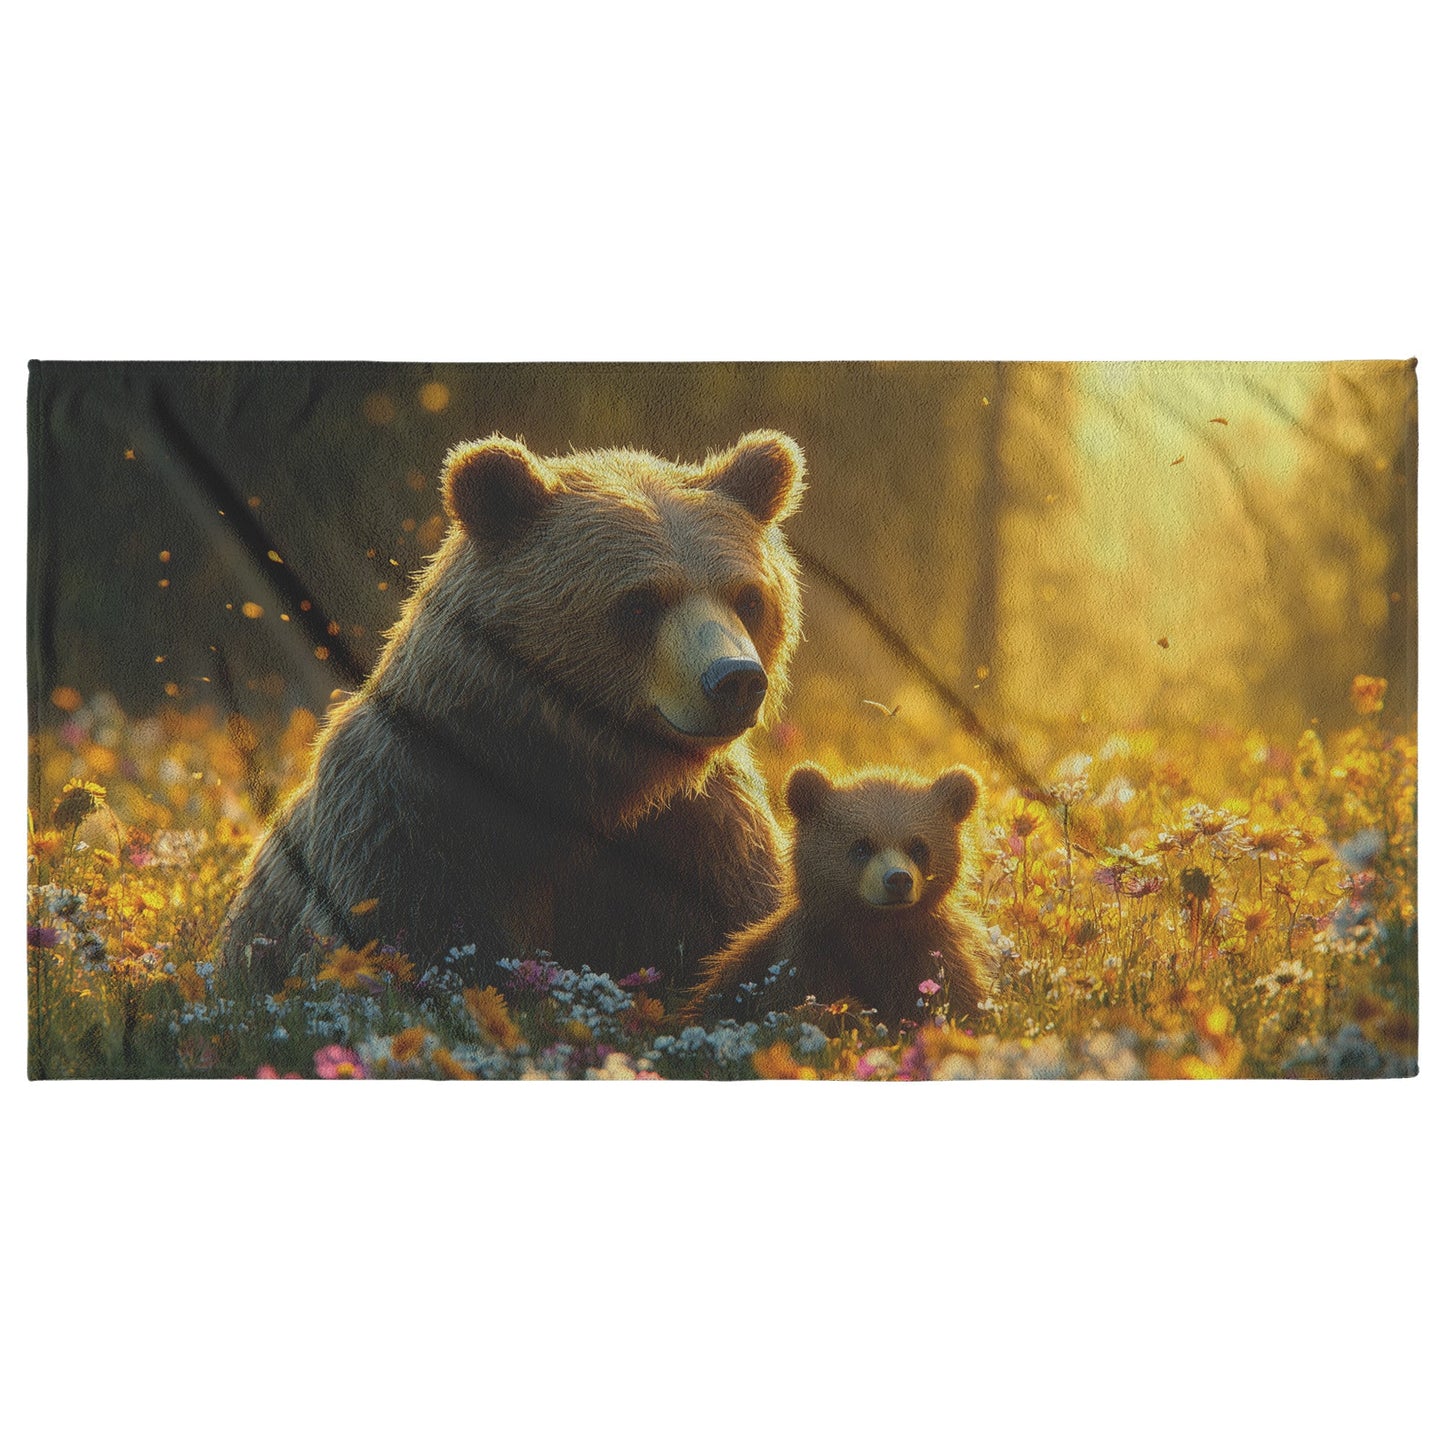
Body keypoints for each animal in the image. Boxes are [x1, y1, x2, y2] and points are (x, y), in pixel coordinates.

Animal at [222, 429, 808, 991]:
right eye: (640, 603)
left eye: (749, 597)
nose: (734, 679)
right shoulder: (408, 813)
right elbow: (406, 934)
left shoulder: (704, 830)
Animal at [688, 762, 992, 1026]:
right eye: (861, 846)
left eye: (918, 846)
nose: (898, 879)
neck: (876, 927)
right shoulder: (810, 952)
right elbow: (798, 1002)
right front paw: (851, 1012)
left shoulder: (931, 951)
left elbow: (958, 999)